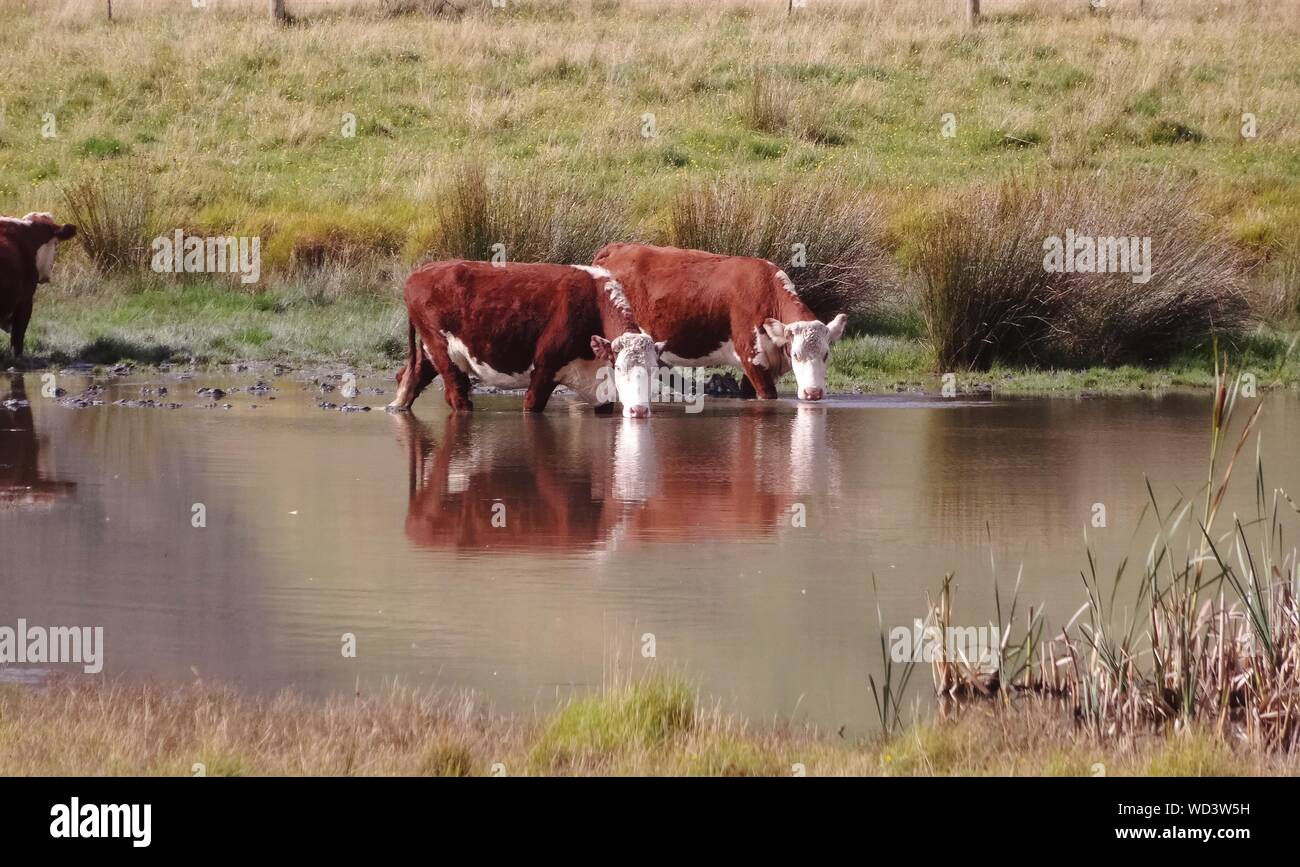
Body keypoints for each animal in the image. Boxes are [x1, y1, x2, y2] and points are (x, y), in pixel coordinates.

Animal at [387, 260, 663, 417]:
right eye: (619, 368)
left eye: (654, 370)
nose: (639, 411)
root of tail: (421, 272)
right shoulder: (544, 367)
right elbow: (531, 406)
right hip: (442, 348)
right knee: (457, 395)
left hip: (431, 349)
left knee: (410, 375)